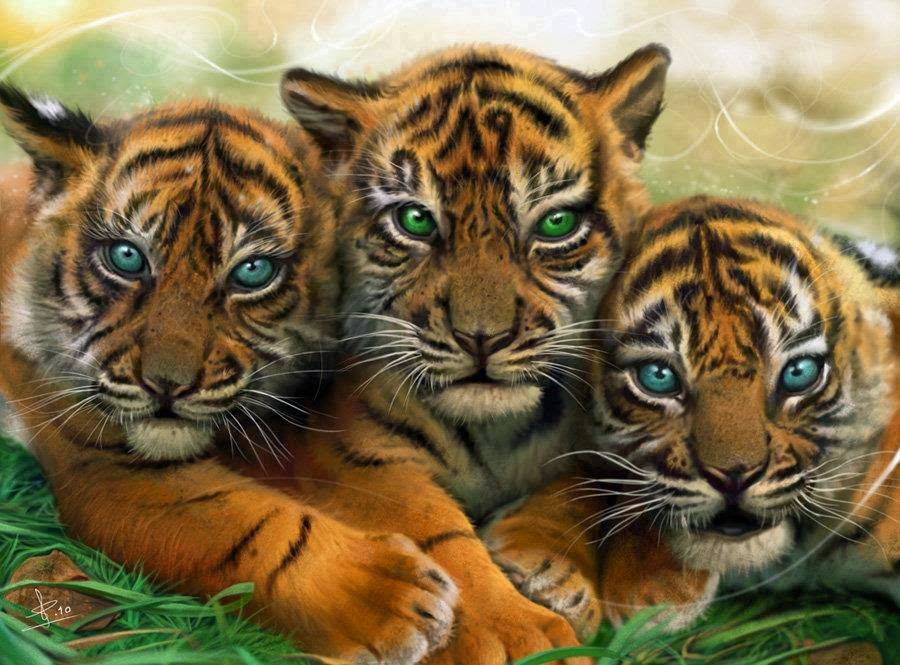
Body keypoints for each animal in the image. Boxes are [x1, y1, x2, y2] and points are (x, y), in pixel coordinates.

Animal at [0, 85, 464, 661]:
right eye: (126, 257)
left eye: (253, 271)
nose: (167, 385)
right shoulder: (106, 464)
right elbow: (253, 529)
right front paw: (390, 597)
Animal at [272, 42, 696, 662]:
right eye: (415, 219)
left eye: (556, 223)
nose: (481, 337)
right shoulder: (355, 456)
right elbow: (438, 534)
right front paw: (519, 634)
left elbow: (581, 485)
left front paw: (551, 570)